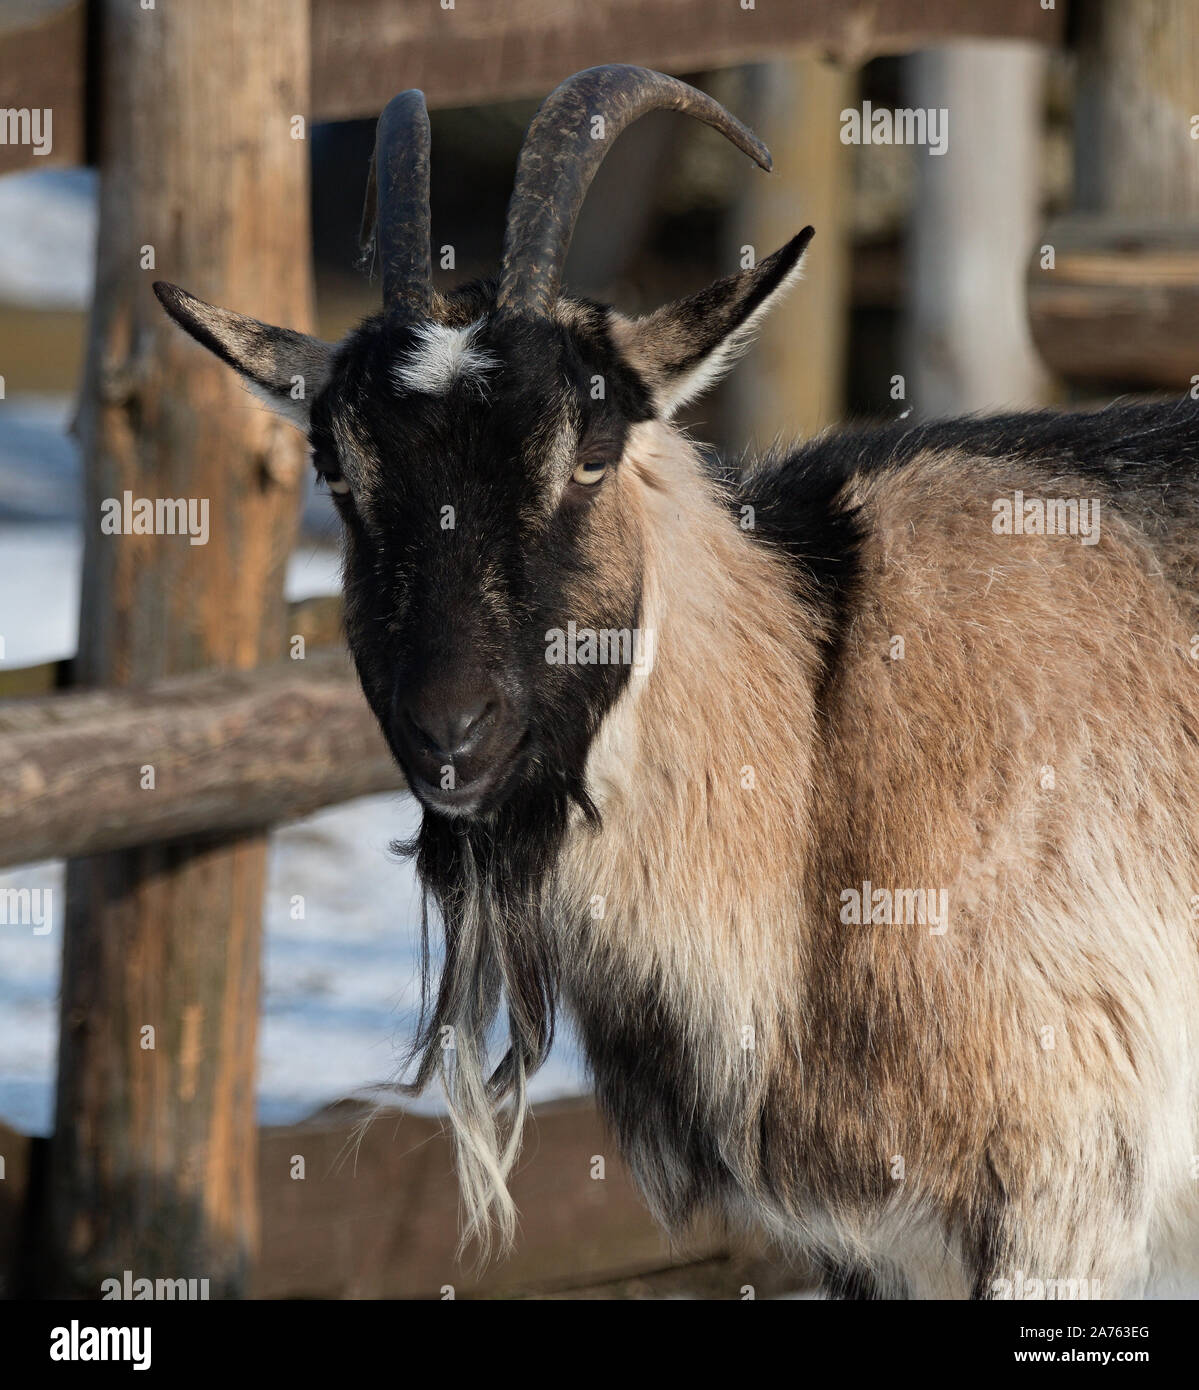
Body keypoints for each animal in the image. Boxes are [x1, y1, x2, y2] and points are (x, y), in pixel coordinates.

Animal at [156, 65, 1199, 1299]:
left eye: (590, 449)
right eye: (336, 468)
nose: (451, 732)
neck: (818, 748)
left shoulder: (1062, 1194)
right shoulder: (879, 1245)